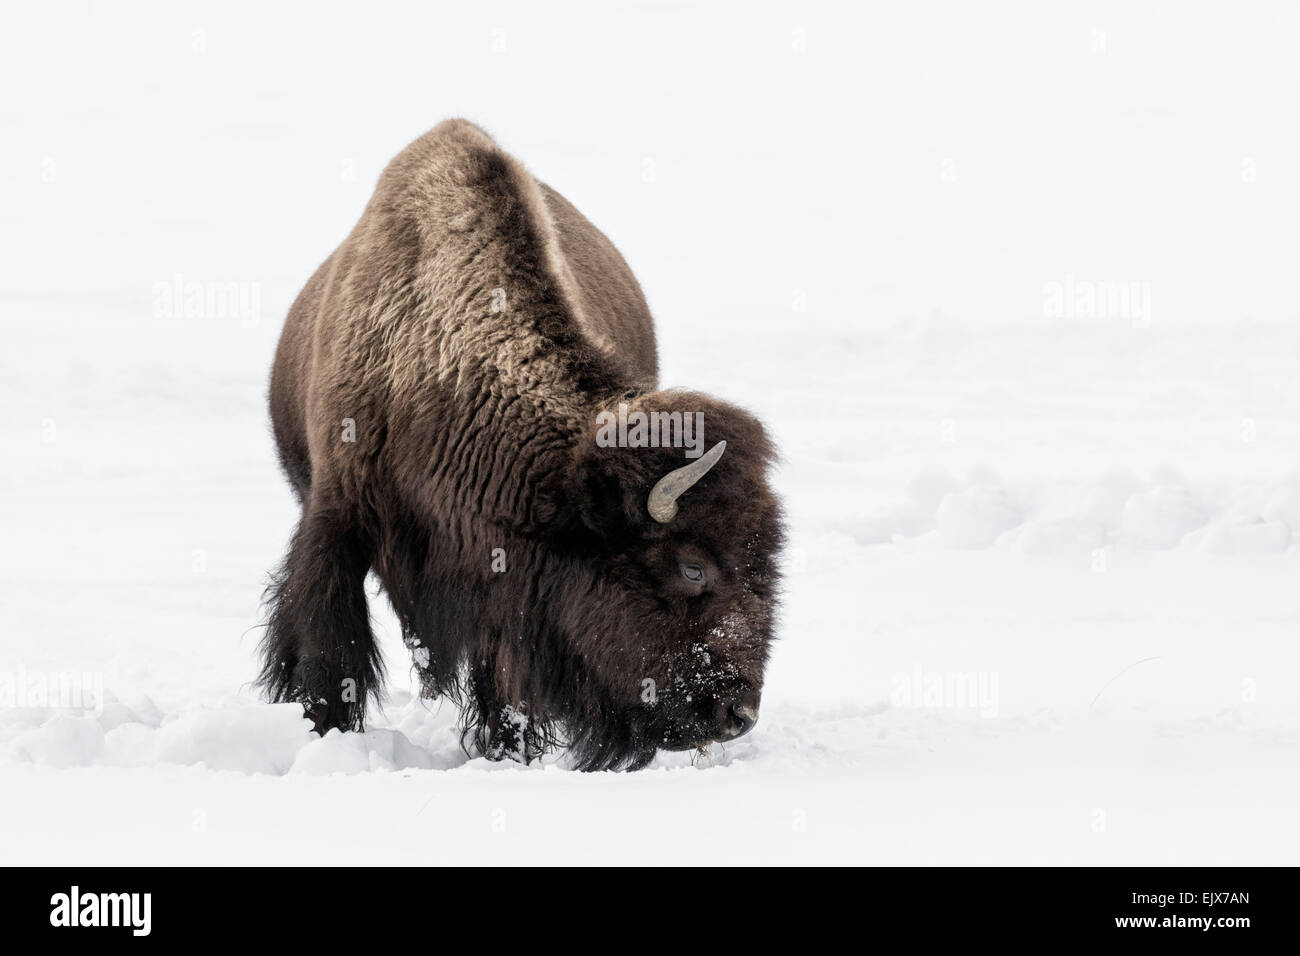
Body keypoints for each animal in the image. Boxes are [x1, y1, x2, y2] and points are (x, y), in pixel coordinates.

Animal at [261, 119, 784, 770]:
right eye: (692, 568)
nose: (737, 716)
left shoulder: (505, 577)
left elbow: (505, 686)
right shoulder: (336, 521)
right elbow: (329, 655)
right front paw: (324, 734)